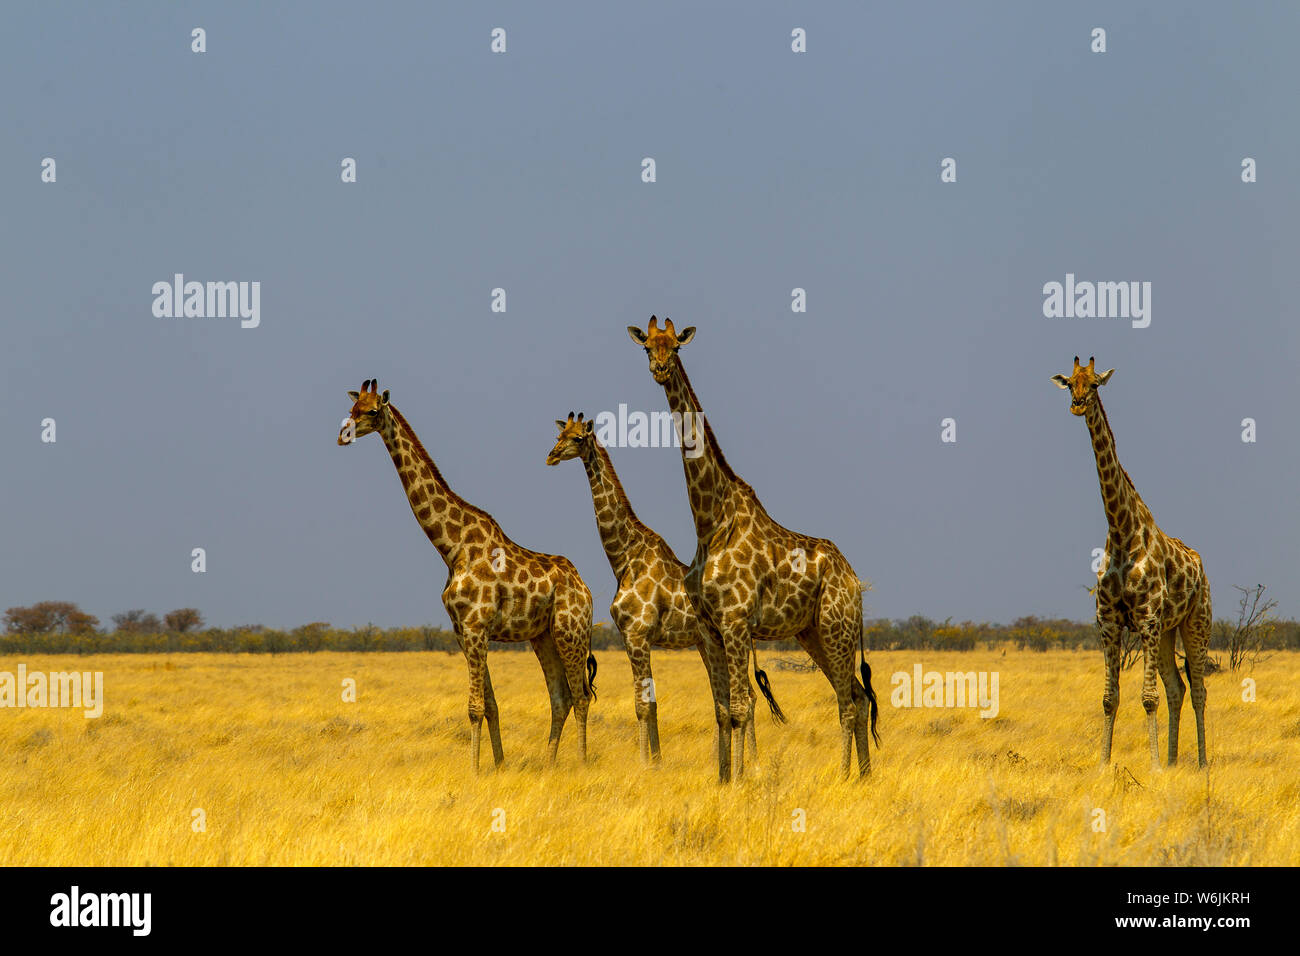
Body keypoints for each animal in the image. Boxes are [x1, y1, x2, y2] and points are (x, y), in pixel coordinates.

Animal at [337, 379, 596, 773]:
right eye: (352, 409)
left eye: (372, 411)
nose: (342, 435)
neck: (451, 546)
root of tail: (587, 588)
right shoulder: (463, 630)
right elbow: (489, 705)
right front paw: (499, 765)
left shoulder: (476, 626)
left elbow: (474, 707)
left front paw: (474, 771)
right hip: (543, 636)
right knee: (561, 697)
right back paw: (549, 764)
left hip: (572, 630)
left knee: (580, 696)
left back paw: (580, 763)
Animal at [545, 412, 757, 766]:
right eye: (559, 435)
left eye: (577, 438)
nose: (551, 456)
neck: (624, 557)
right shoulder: (635, 637)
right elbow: (652, 703)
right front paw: (656, 761)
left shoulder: (637, 635)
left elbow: (643, 705)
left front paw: (645, 763)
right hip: (709, 644)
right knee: (742, 697)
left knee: (748, 697)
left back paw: (749, 763)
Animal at [627, 317, 879, 782]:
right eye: (647, 347)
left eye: (675, 346)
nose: (659, 368)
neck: (710, 521)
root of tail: (855, 581)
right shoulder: (710, 627)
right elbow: (724, 709)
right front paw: (724, 779)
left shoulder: (736, 620)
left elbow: (742, 708)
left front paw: (741, 780)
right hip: (812, 632)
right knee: (855, 693)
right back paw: (865, 776)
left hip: (836, 627)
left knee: (849, 701)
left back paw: (844, 775)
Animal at [1052, 357, 1212, 768]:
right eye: (1070, 382)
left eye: (1094, 384)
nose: (1076, 405)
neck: (1122, 532)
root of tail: (1201, 566)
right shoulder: (1109, 621)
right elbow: (1110, 698)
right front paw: (1104, 765)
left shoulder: (1148, 618)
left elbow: (1148, 698)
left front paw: (1152, 767)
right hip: (1169, 629)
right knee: (1177, 687)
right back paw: (1173, 761)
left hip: (1196, 621)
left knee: (1198, 688)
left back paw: (1201, 763)